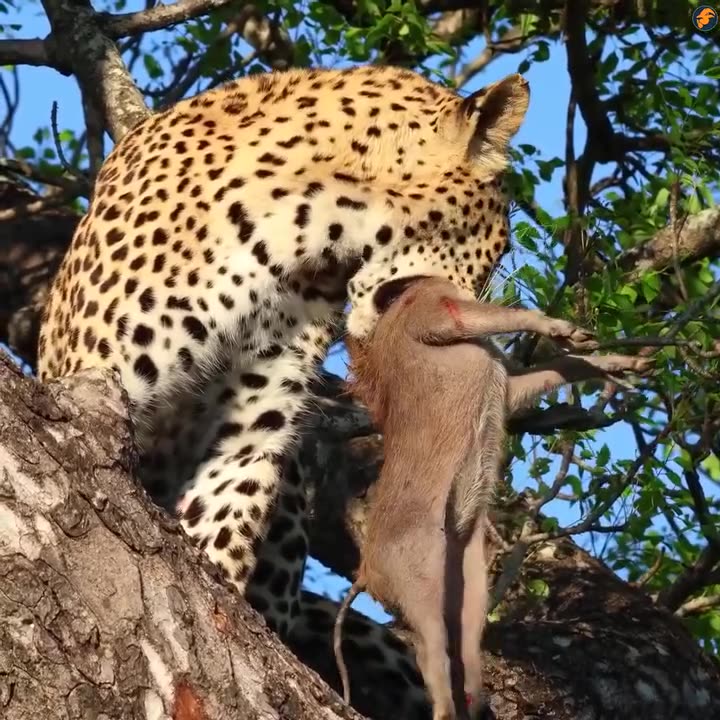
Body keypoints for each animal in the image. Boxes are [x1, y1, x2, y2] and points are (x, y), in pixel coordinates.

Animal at [37, 64, 530, 717]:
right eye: (495, 247)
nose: (473, 313)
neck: (305, 227)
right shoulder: (94, 377)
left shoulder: (254, 420)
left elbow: (216, 541)